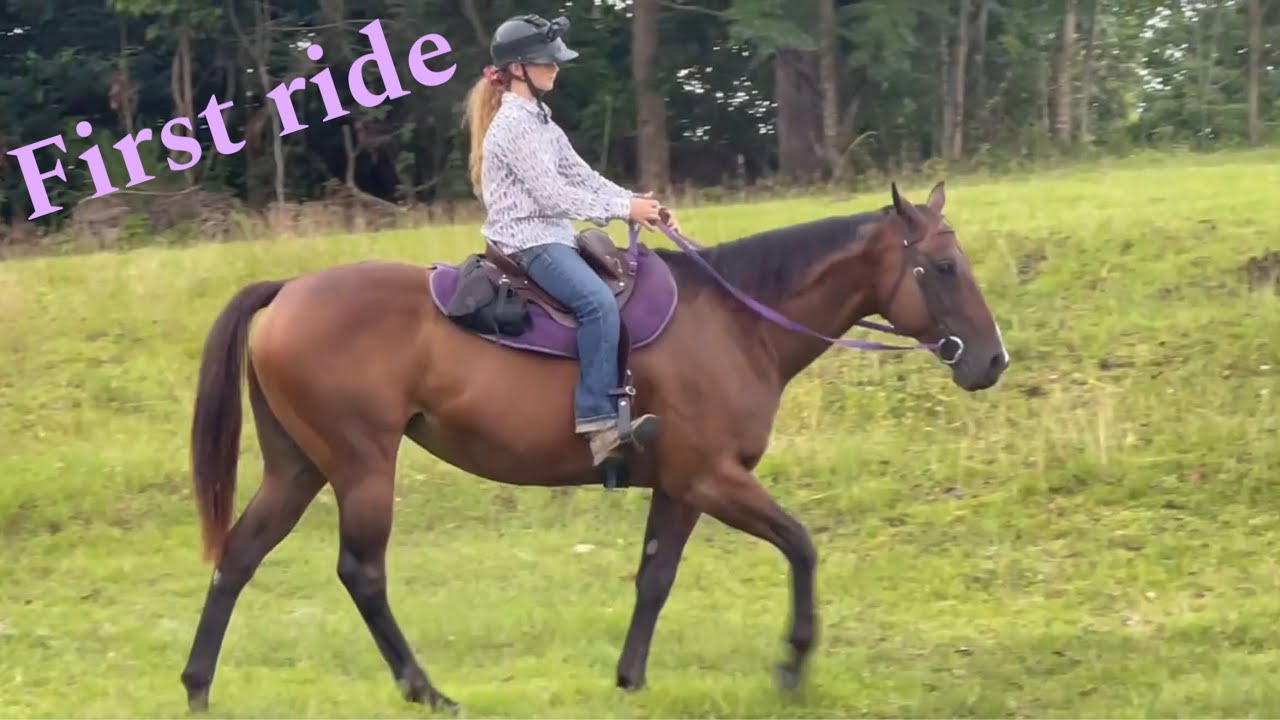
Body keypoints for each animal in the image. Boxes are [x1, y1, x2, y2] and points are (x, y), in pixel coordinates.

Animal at [178, 181, 1009, 712]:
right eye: (942, 268)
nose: (991, 360)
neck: (738, 323)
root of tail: (289, 290)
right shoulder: (714, 479)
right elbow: (801, 546)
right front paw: (794, 665)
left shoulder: (679, 488)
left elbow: (654, 576)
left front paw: (631, 677)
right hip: (361, 466)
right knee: (362, 573)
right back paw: (426, 690)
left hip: (297, 468)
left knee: (239, 557)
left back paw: (198, 686)